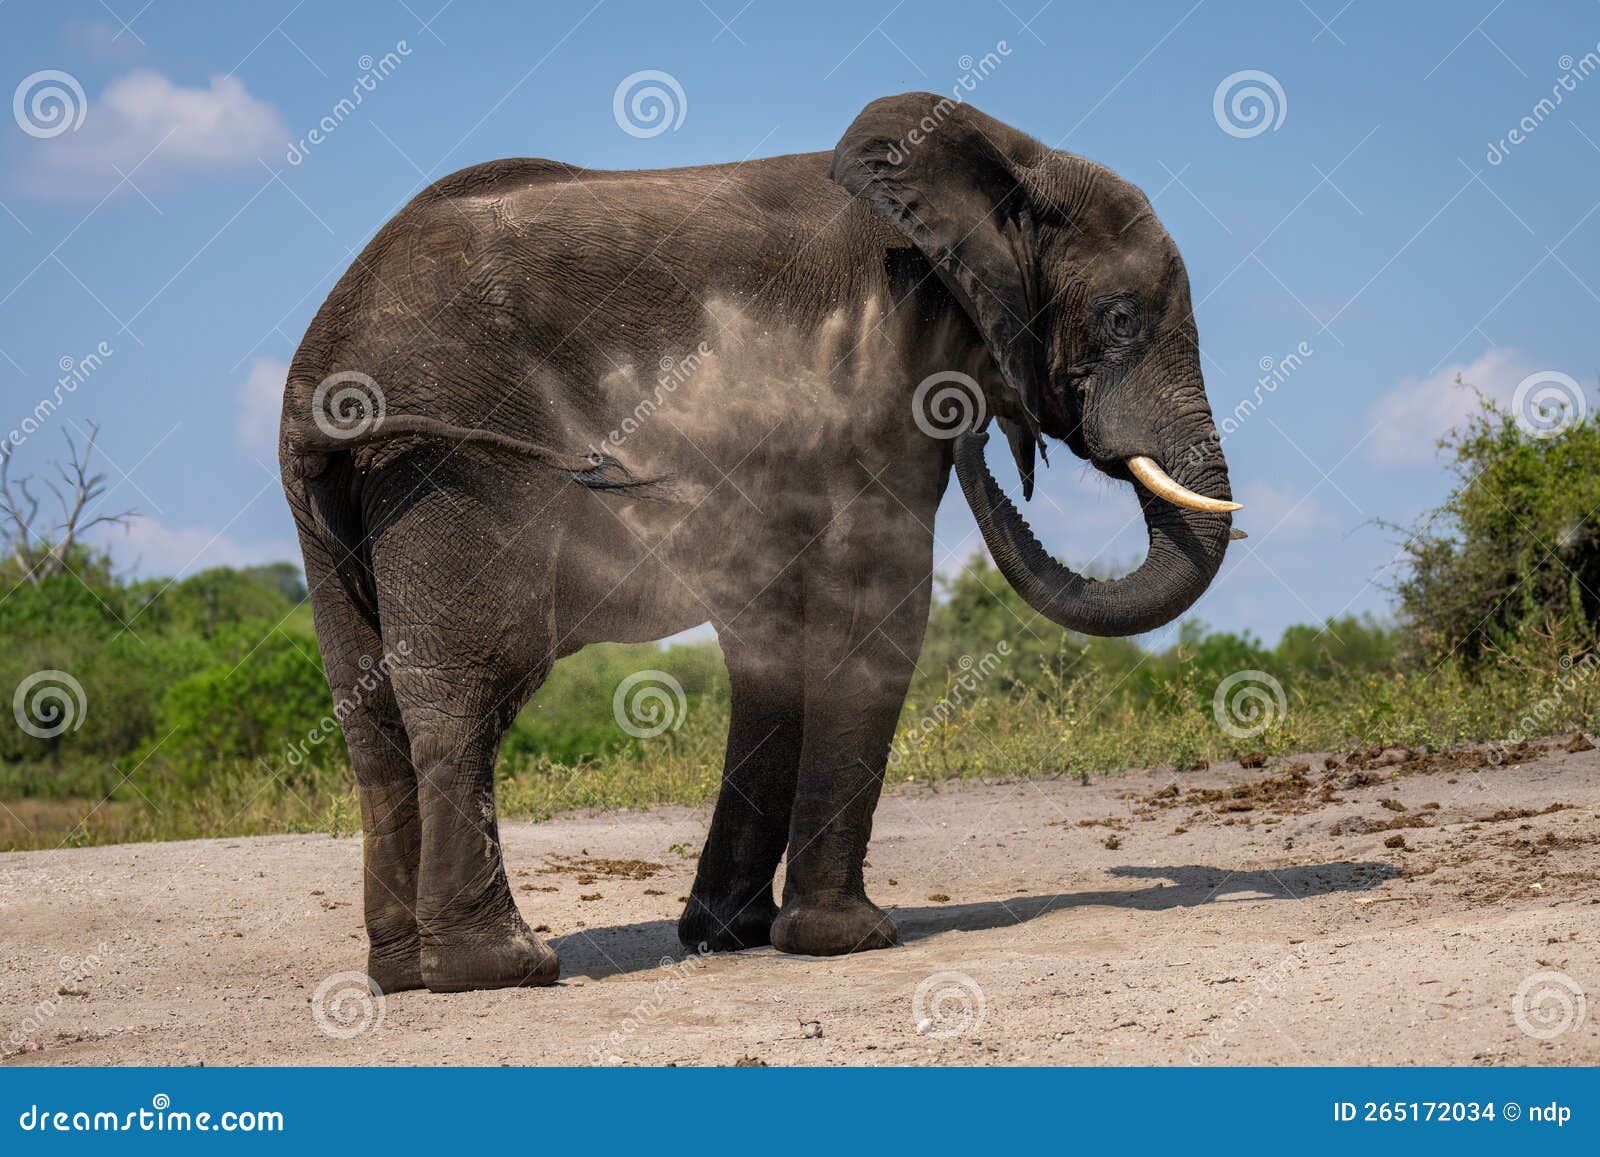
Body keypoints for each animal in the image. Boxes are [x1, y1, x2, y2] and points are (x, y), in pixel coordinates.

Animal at [278, 92, 1240, 994]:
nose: (989, 439)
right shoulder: (880, 383)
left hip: (334, 505)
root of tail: (333, 349)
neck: (1007, 161)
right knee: (471, 689)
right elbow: (882, 607)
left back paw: (402, 974)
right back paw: (503, 968)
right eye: (1121, 321)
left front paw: (729, 935)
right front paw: (852, 939)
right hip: (450, 464)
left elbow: (769, 651)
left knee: (370, 714)